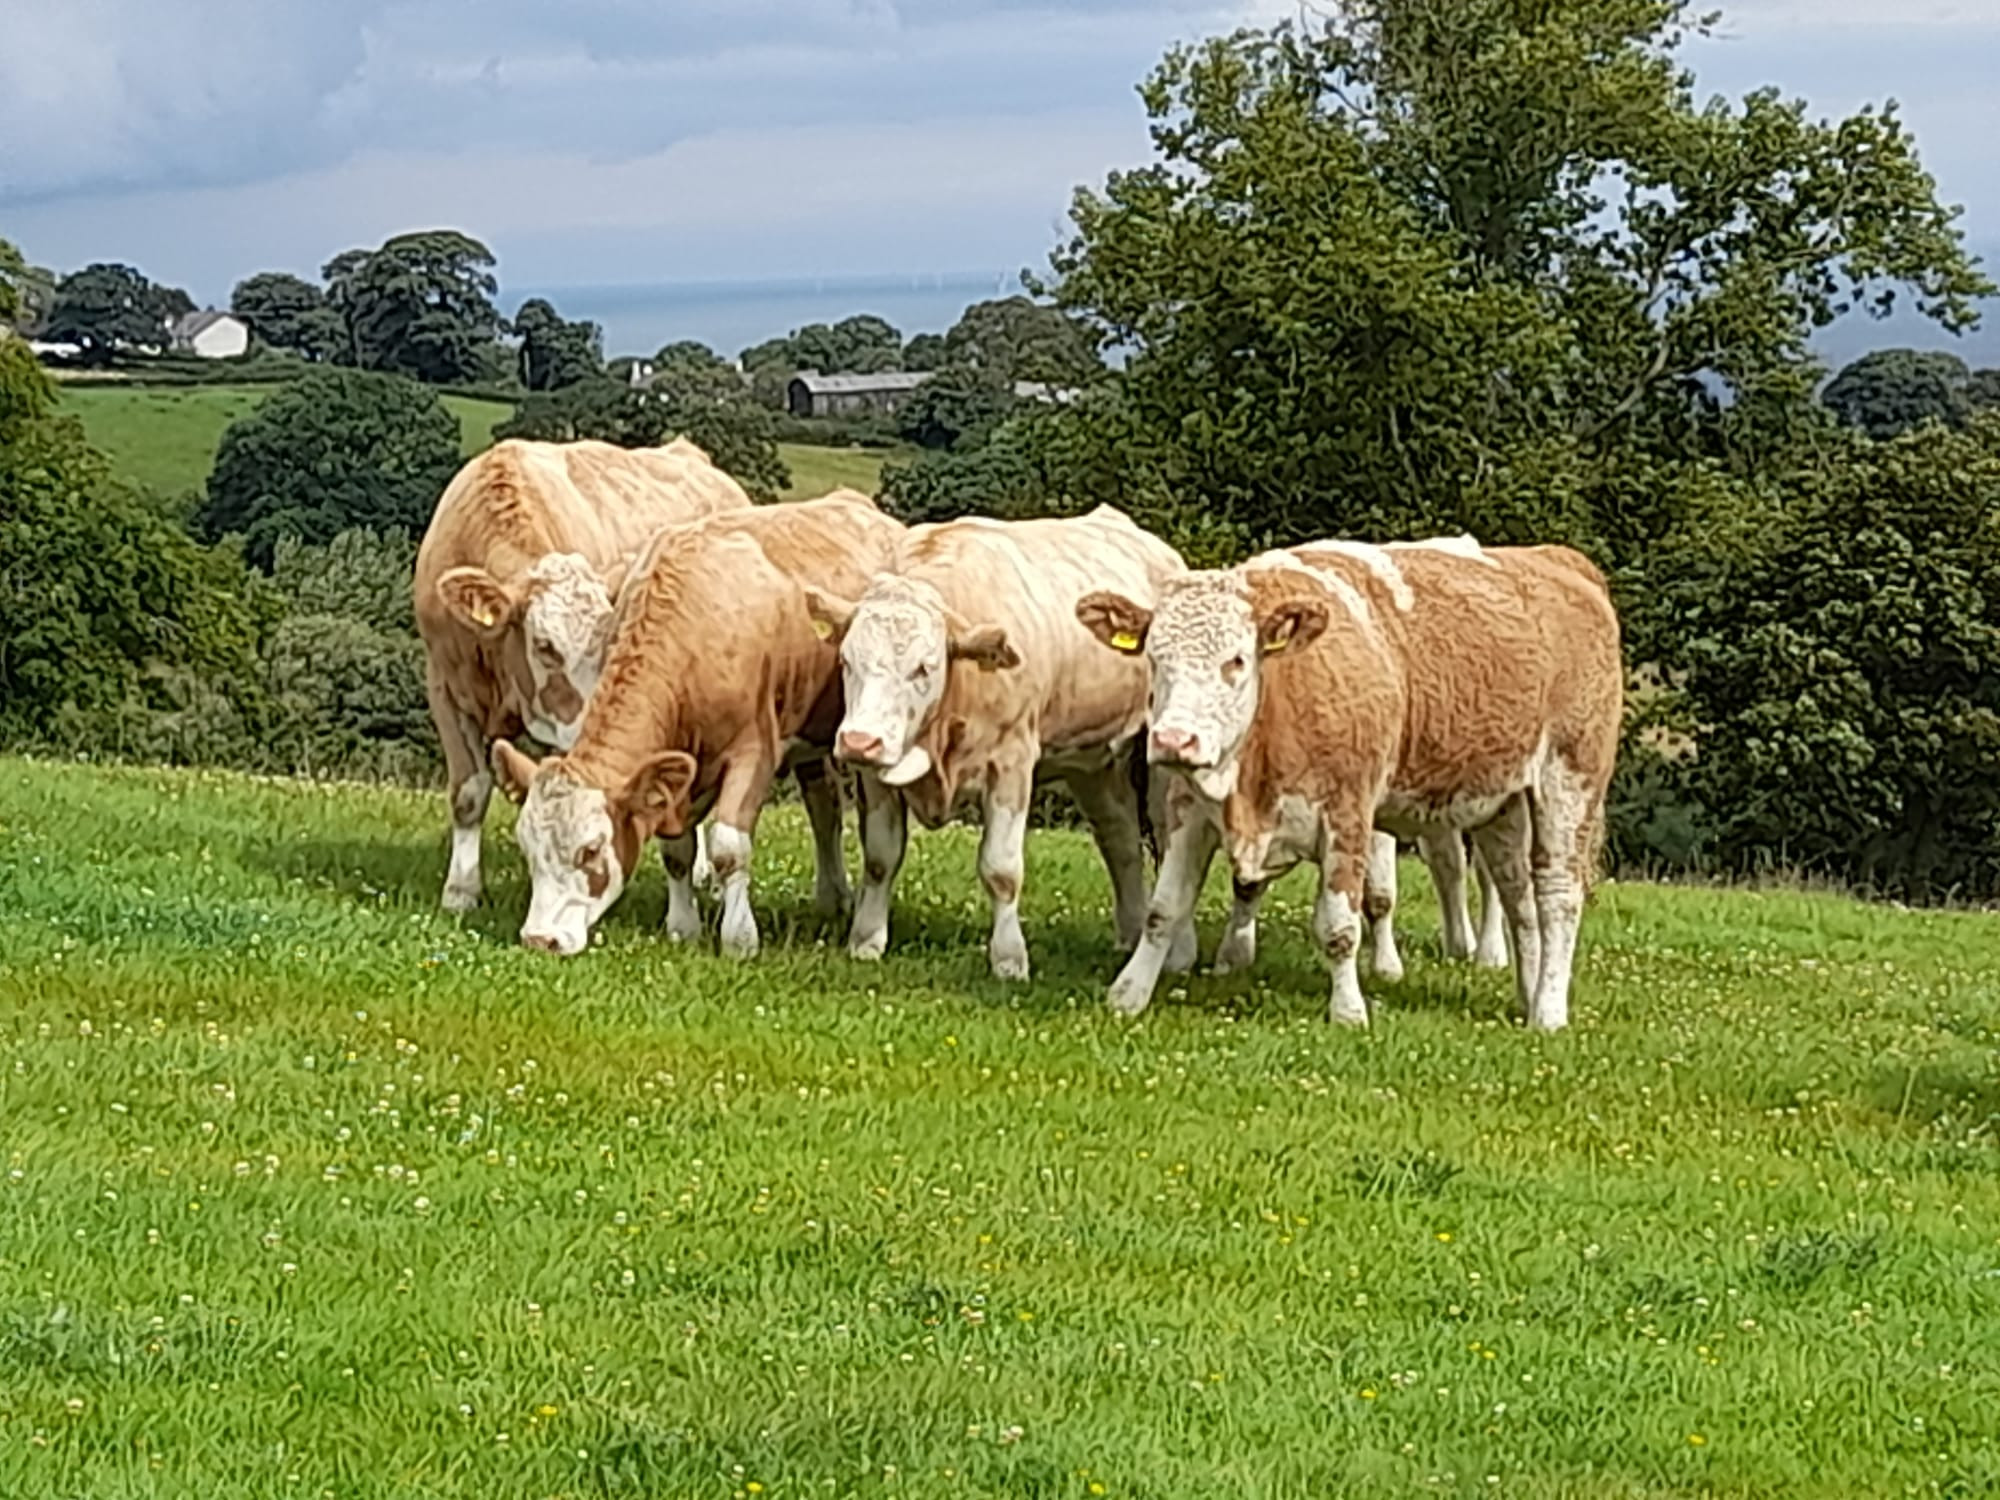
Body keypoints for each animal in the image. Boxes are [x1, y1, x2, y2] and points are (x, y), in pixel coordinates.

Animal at [488, 491, 905, 957]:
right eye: (527, 849)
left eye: (590, 850)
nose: (540, 939)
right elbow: (677, 851)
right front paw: (683, 926)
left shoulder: (755, 751)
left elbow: (729, 848)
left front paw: (739, 939)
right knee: (823, 808)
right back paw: (832, 897)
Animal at [801, 506, 1185, 979]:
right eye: (846, 660)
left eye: (923, 668)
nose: (859, 740)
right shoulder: (875, 774)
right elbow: (879, 858)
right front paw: (867, 939)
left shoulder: (1011, 763)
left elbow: (1001, 869)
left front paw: (1009, 959)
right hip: (1092, 762)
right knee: (1120, 839)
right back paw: (1130, 933)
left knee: (1166, 838)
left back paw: (1179, 955)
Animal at [1075, 537, 1621, 1030]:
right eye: (1154, 658)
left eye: (1236, 660)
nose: (1174, 739)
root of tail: (1557, 560)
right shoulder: (1190, 810)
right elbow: (1162, 910)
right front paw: (1129, 994)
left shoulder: (1349, 814)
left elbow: (1340, 926)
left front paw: (1348, 1012)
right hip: (1500, 802)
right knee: (1518, 898)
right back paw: (1529, 994)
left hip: (1569, 781)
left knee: (1557, 895)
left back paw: (1549, 1013)